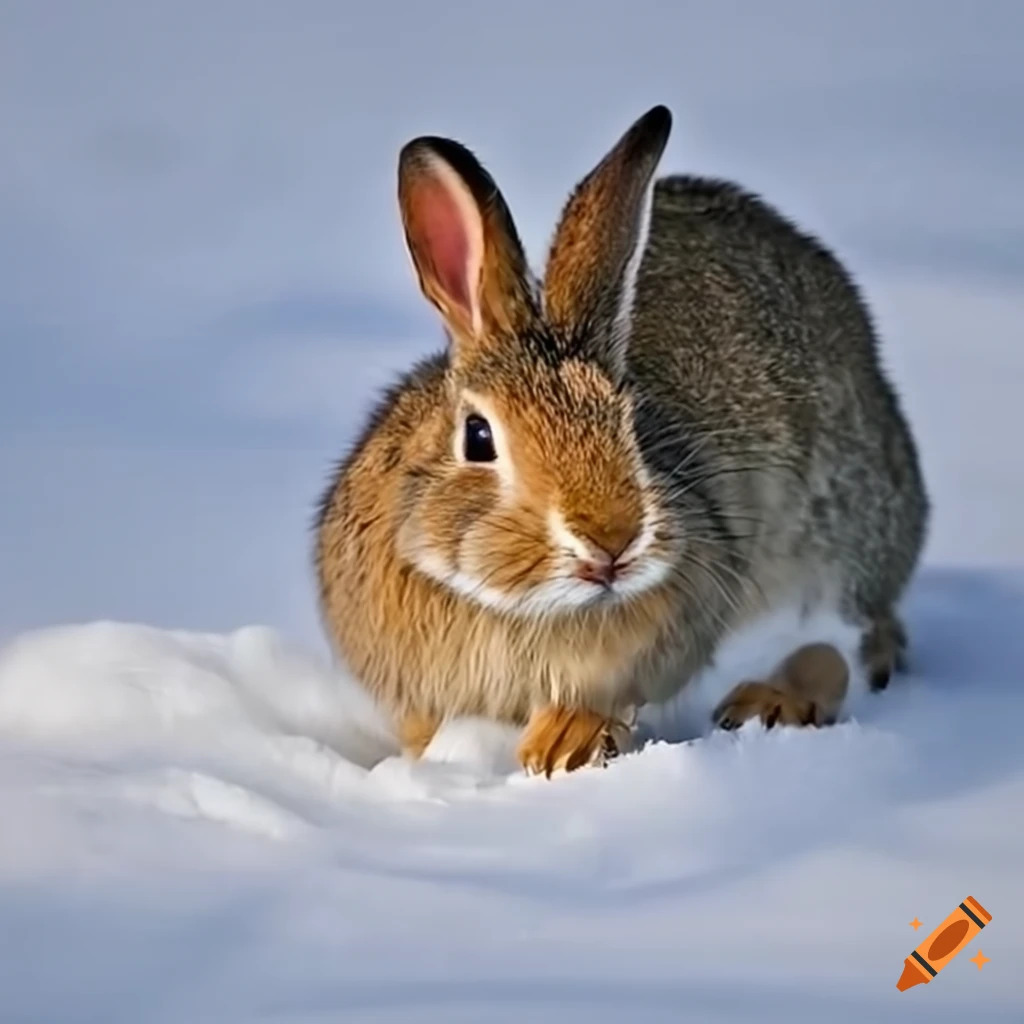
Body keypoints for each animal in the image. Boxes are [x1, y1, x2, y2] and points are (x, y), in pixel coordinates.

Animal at [315, 104, 929, 776]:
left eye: (631, 422)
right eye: (478, 438)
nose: (611, 539)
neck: (519, 608)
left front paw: (562, 742)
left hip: (840, 552)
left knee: (839, 649)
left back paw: (768, 702)